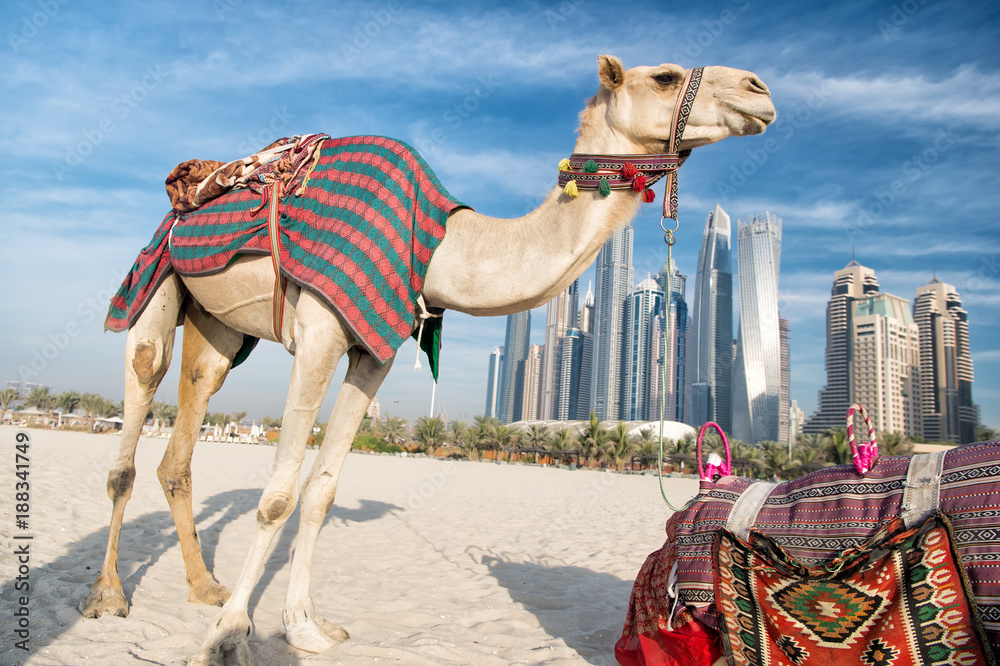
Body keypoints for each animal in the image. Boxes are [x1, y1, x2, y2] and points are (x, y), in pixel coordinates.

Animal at [79, 55, 774, 664]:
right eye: (665, 76)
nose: (760, 90)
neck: (443, 248)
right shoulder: (320, 330)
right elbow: (278, 496)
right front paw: (227, 641)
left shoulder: (371, 351)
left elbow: (322, 491)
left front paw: (305, 629)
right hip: (157, 276)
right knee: (141, 390)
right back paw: (109, 596)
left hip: (218, 326)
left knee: (189, 421)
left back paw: (203, 587)